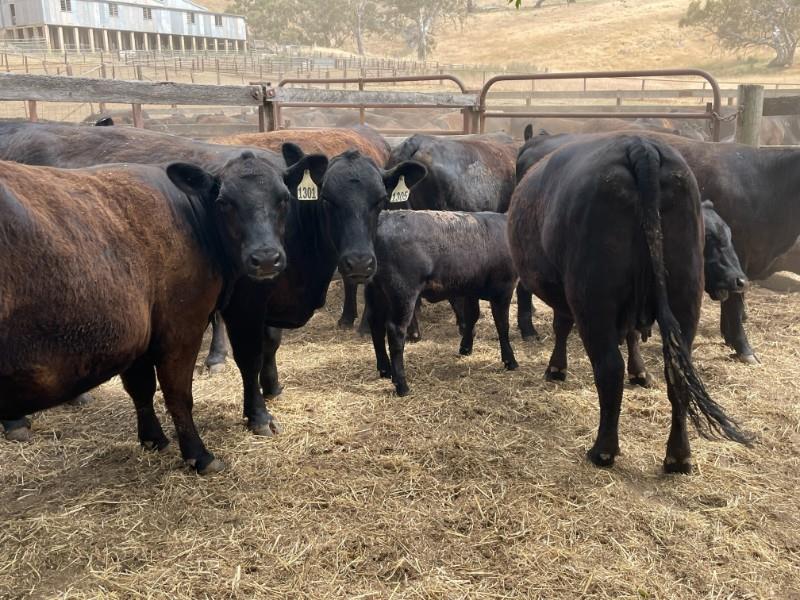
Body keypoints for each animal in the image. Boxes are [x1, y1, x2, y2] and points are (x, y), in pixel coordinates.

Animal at [0, 121, 327, 441]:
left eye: (284, 199)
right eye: (224, 202)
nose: (266, 258)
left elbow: (270, 342)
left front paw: (271, 388)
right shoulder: (245, 299)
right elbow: (250, 356)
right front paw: (258, 414)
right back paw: (15, 421)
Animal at [366, 211, 518, 397]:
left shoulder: (471, 290)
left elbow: (472, 316)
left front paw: (465, 348)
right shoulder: (504, 289)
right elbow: (503, 326)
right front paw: (510, 361)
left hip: (376, 292)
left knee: (376, 325)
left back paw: (385, 370)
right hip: (403, 293)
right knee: (395, 332)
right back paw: (402, 385)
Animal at [507, 133, 751, 473]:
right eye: (714, 238)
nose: (740, 280)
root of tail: (642, 146)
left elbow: (563, 325)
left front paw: (557, 368)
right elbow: (629, 335)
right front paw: (640, 372)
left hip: (593, 300)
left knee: (609, 369)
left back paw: (603, 450)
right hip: (685, 297)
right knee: (676, 374)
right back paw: (678, 457)